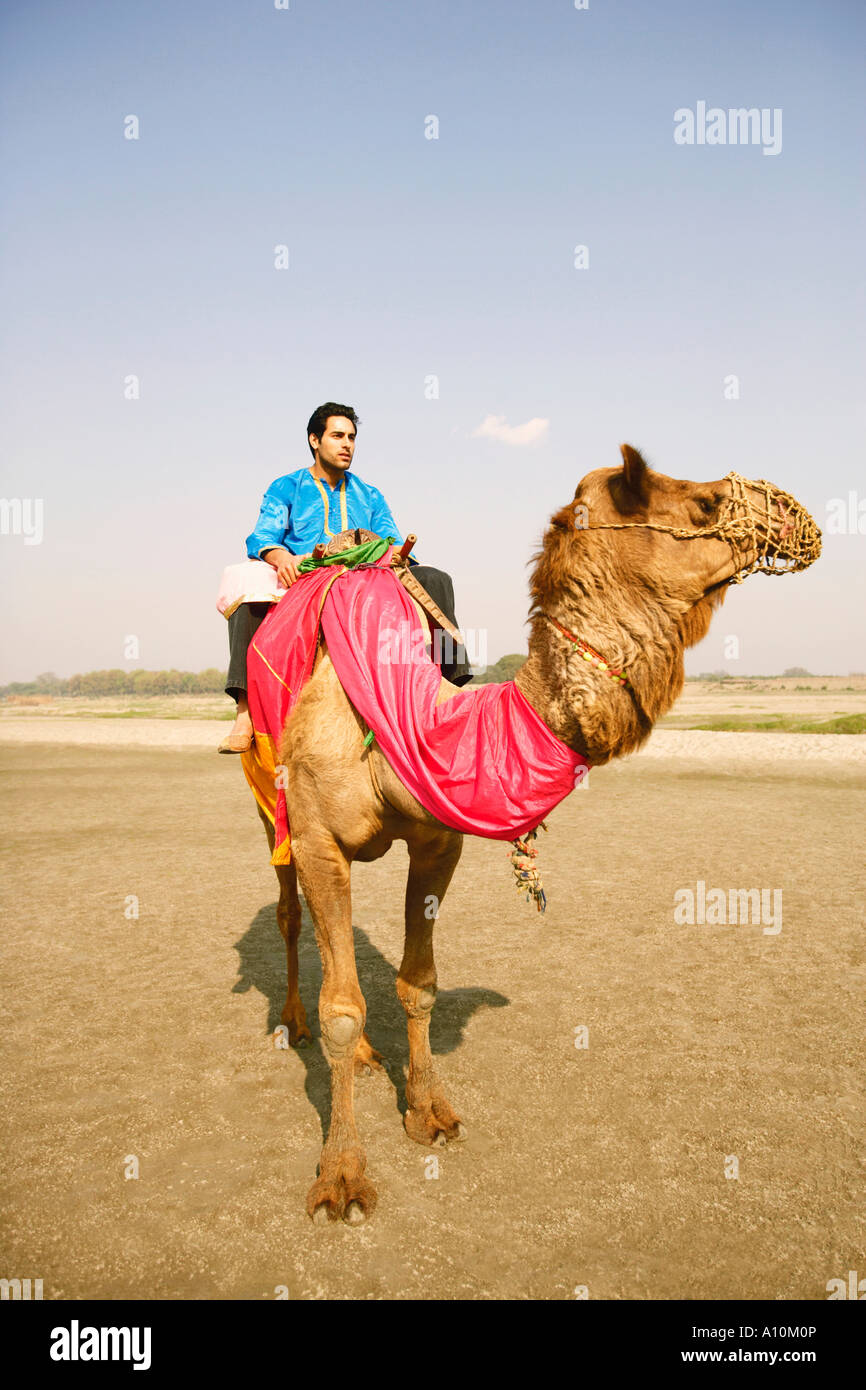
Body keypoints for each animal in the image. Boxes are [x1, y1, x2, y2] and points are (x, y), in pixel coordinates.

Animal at [251, 444, 820, 1223]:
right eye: (704, 503)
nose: (794, 514)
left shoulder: (439, 842)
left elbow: (418, 985)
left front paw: (430, 1114)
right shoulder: (316, 840)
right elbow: (342, 1007)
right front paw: (340, 1179)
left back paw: (368, 1057)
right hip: (270, 806)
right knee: (286, 915)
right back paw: (294, 1024)